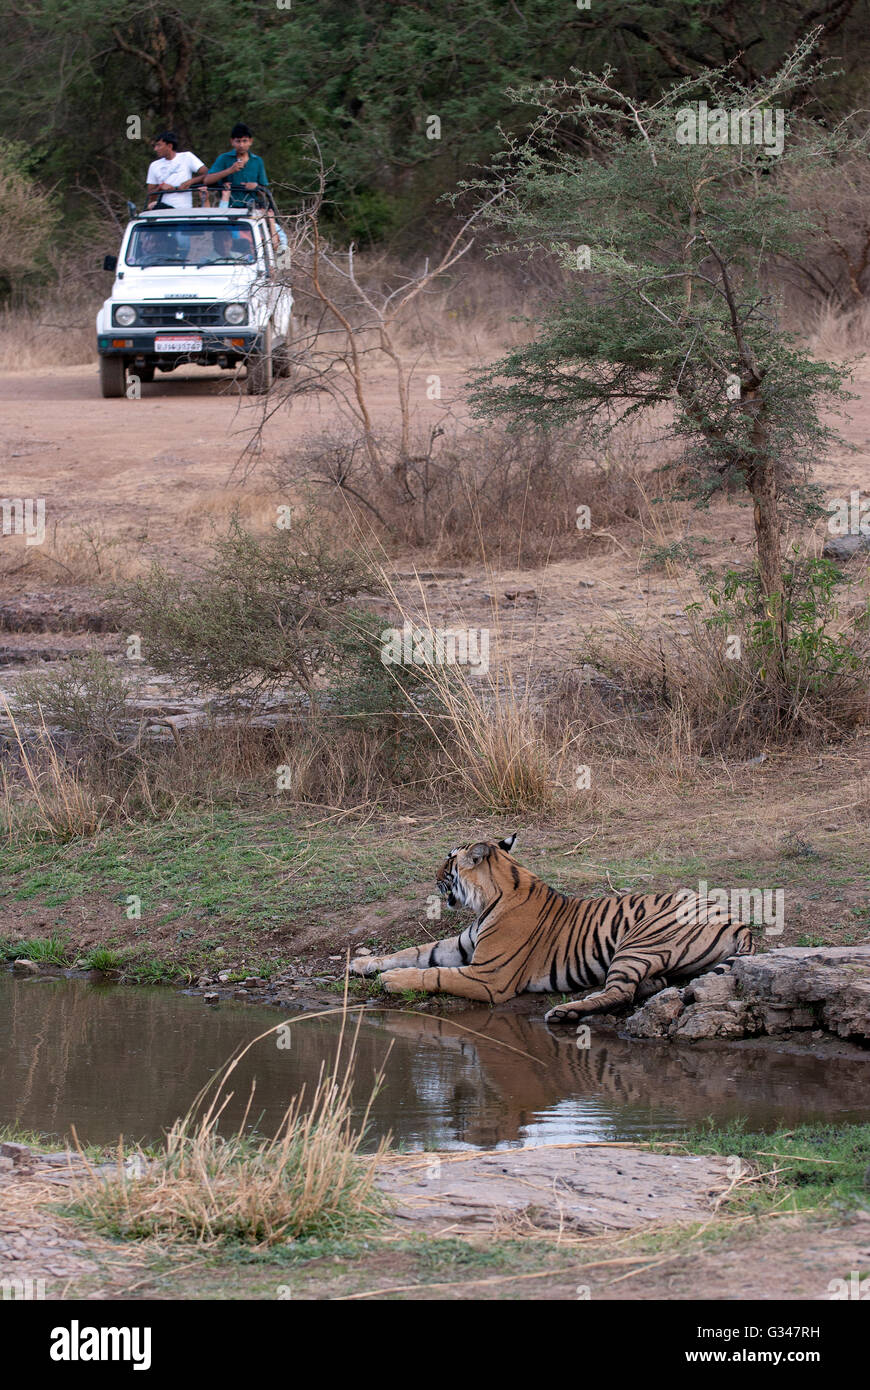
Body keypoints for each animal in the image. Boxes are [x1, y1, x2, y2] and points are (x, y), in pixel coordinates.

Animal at [350, 834, 754, 1024]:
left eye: (448, 862)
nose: (433, 877)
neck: (488, 897)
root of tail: (737, 919)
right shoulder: (461, 947)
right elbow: (415, 952)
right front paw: (362, 964)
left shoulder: (488, 976)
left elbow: (434, 974)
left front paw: (392, 981)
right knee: (643, 987)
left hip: (639, 940)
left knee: (620, 992)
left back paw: (565, 1013)